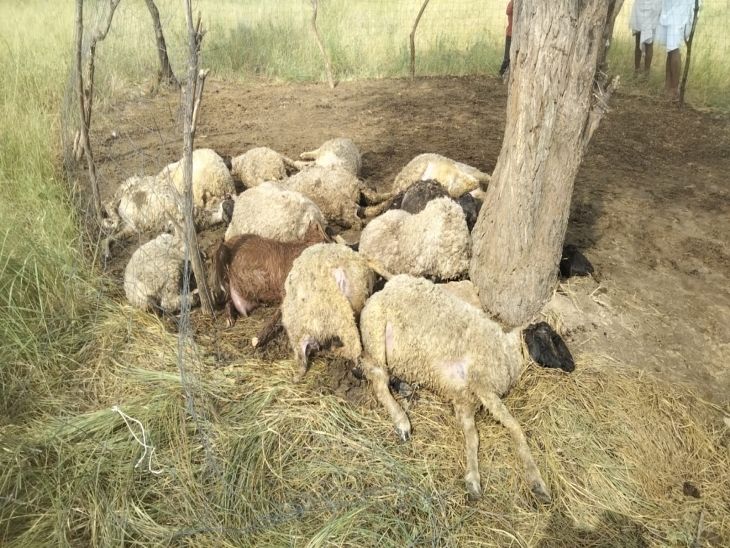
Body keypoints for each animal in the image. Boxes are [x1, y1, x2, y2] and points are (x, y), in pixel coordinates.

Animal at [358, 274, 551, 503]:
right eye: (549, 336)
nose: (571, 367)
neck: (507, 350)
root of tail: (391, 284)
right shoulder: (482, 384)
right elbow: (515, 426)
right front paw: (537, 480)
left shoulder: (465, 399)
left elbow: (472, 436)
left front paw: (473, 479)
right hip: (376, 334)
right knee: (378, 379)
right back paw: (402, 421)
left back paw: (404, 387)